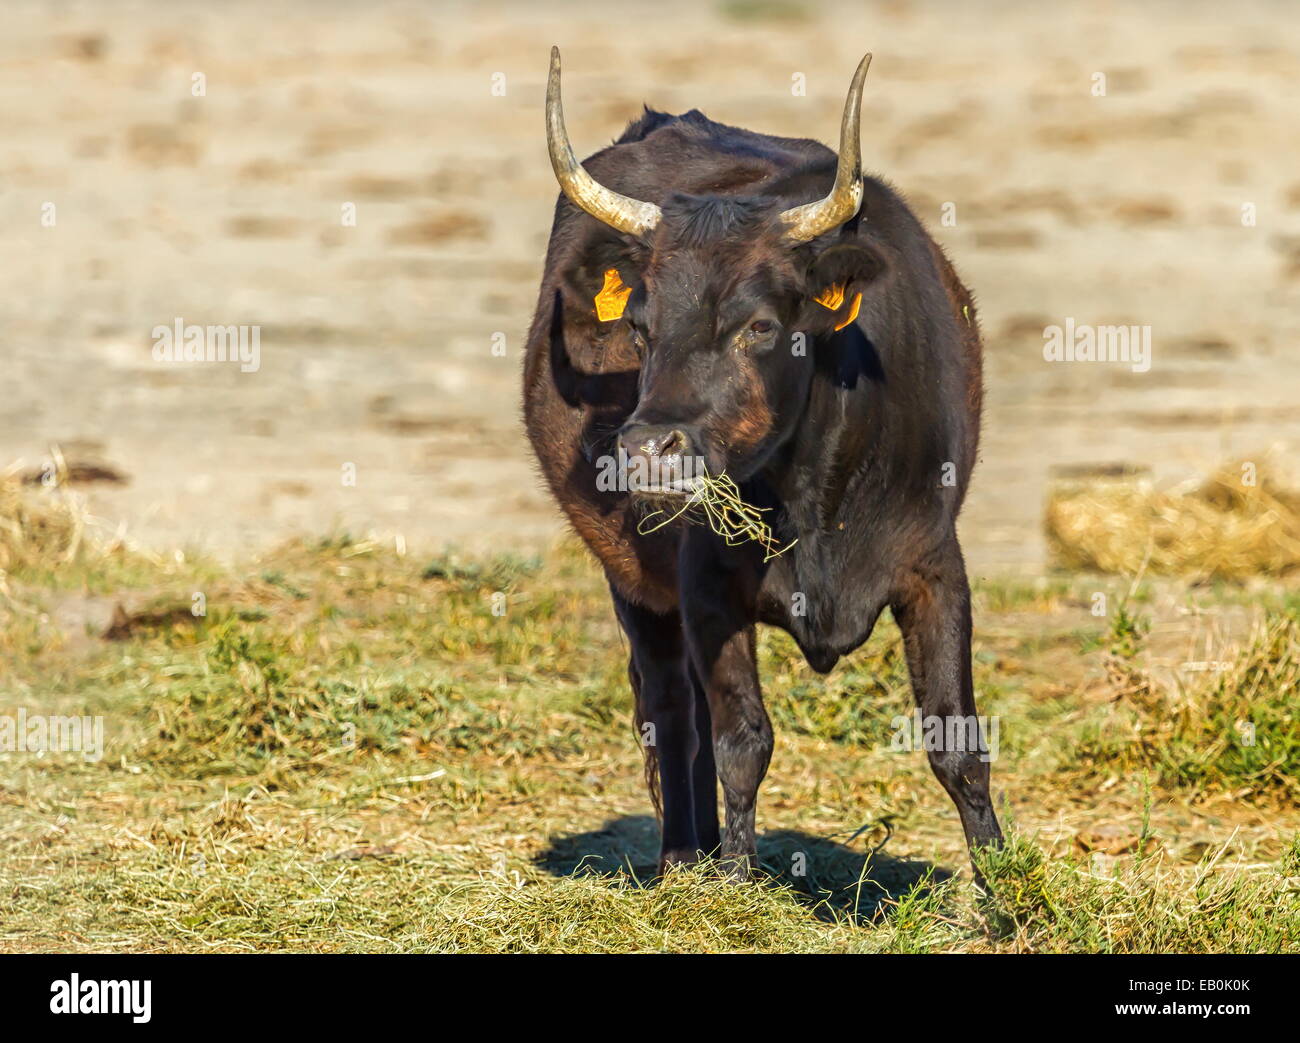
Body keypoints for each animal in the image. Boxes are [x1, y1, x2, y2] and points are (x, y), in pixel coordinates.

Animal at [522, 47, 1004, 879]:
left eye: (759, 326)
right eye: (640, 328)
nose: (647, 450)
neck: (817, 494)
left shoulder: (936, 565)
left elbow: (956, 743)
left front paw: (1009, 888)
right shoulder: (705, 584)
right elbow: (741, 738)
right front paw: (736, 883)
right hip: (634, 580)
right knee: (672, 710)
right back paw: (686, 858)